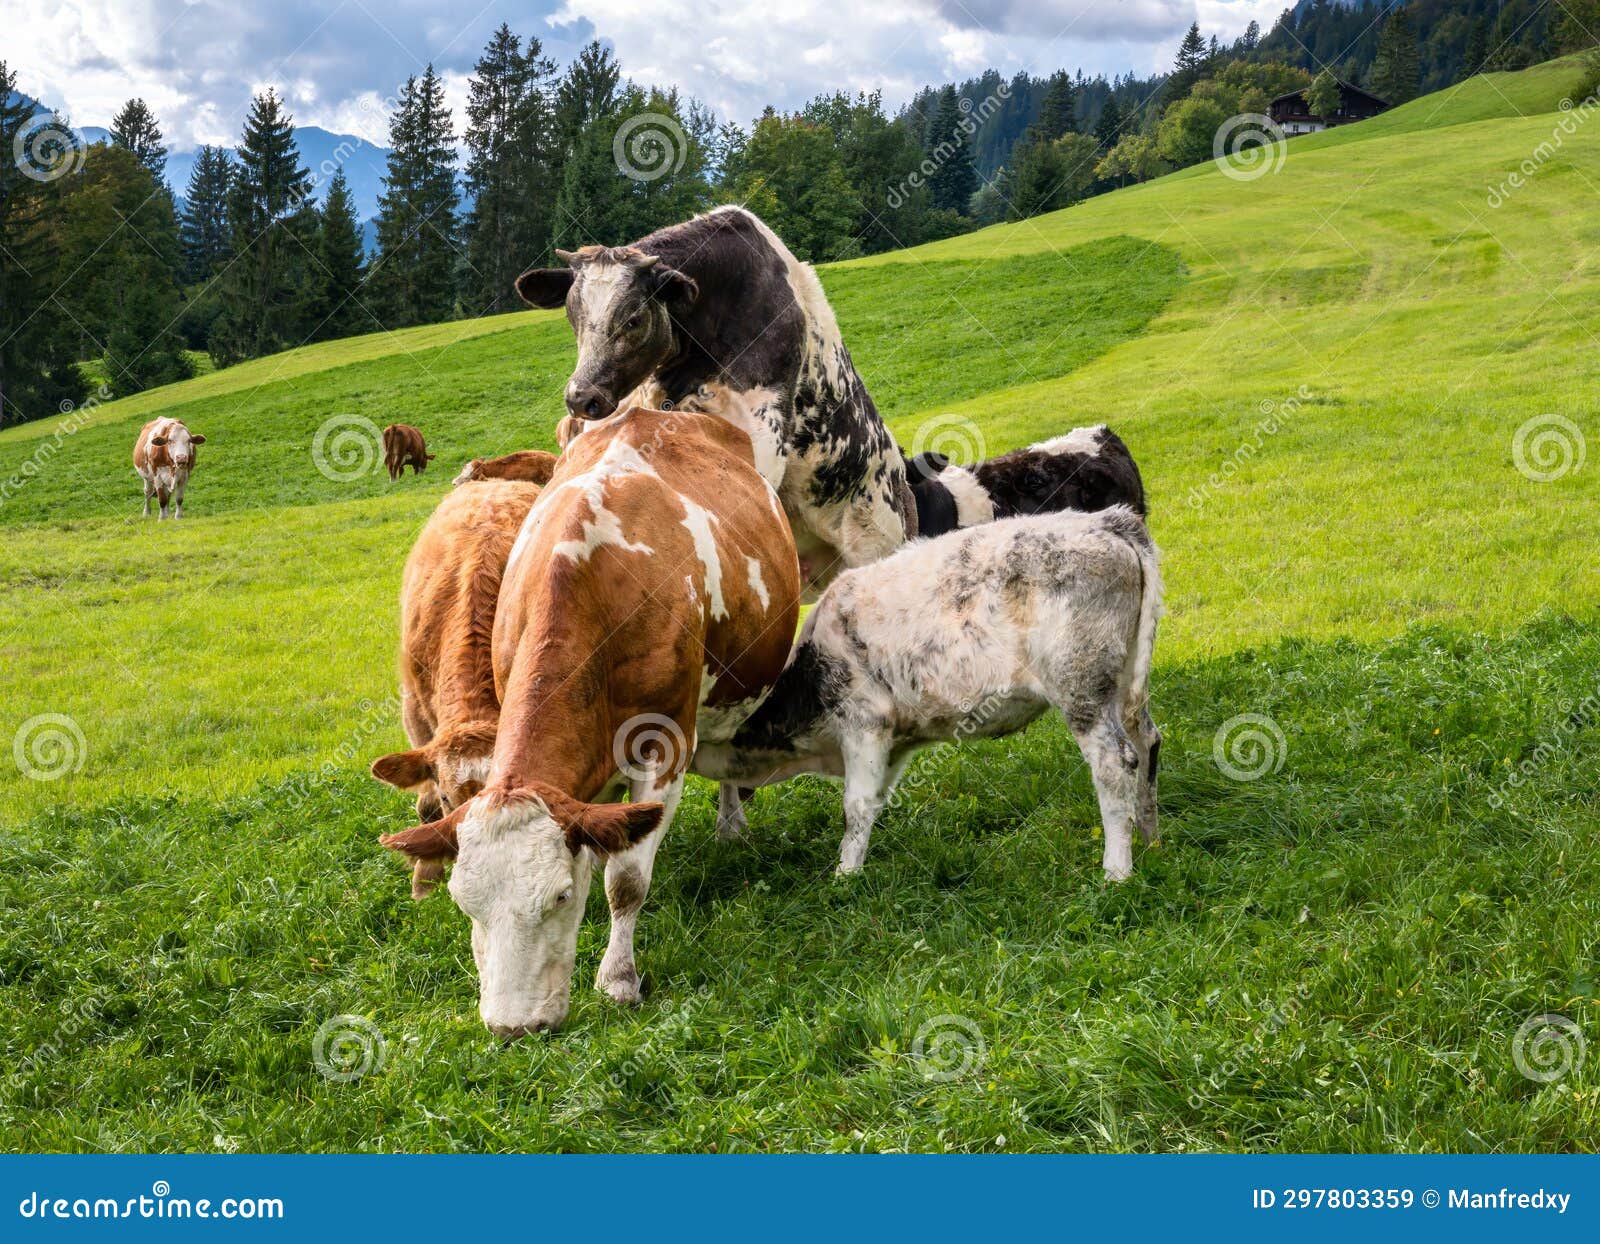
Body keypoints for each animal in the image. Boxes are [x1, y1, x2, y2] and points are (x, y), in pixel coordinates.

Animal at [694, 506, 1163, 883]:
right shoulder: (895, 740)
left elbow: (855, 806)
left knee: (1115, 761)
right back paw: (1150, 840)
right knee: (1148, 742)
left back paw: (1117, 871)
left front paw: (844, 876)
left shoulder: (865, 722)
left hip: (1082, 685)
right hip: (1123, 683)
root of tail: (1106, 521)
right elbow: (873, 802)